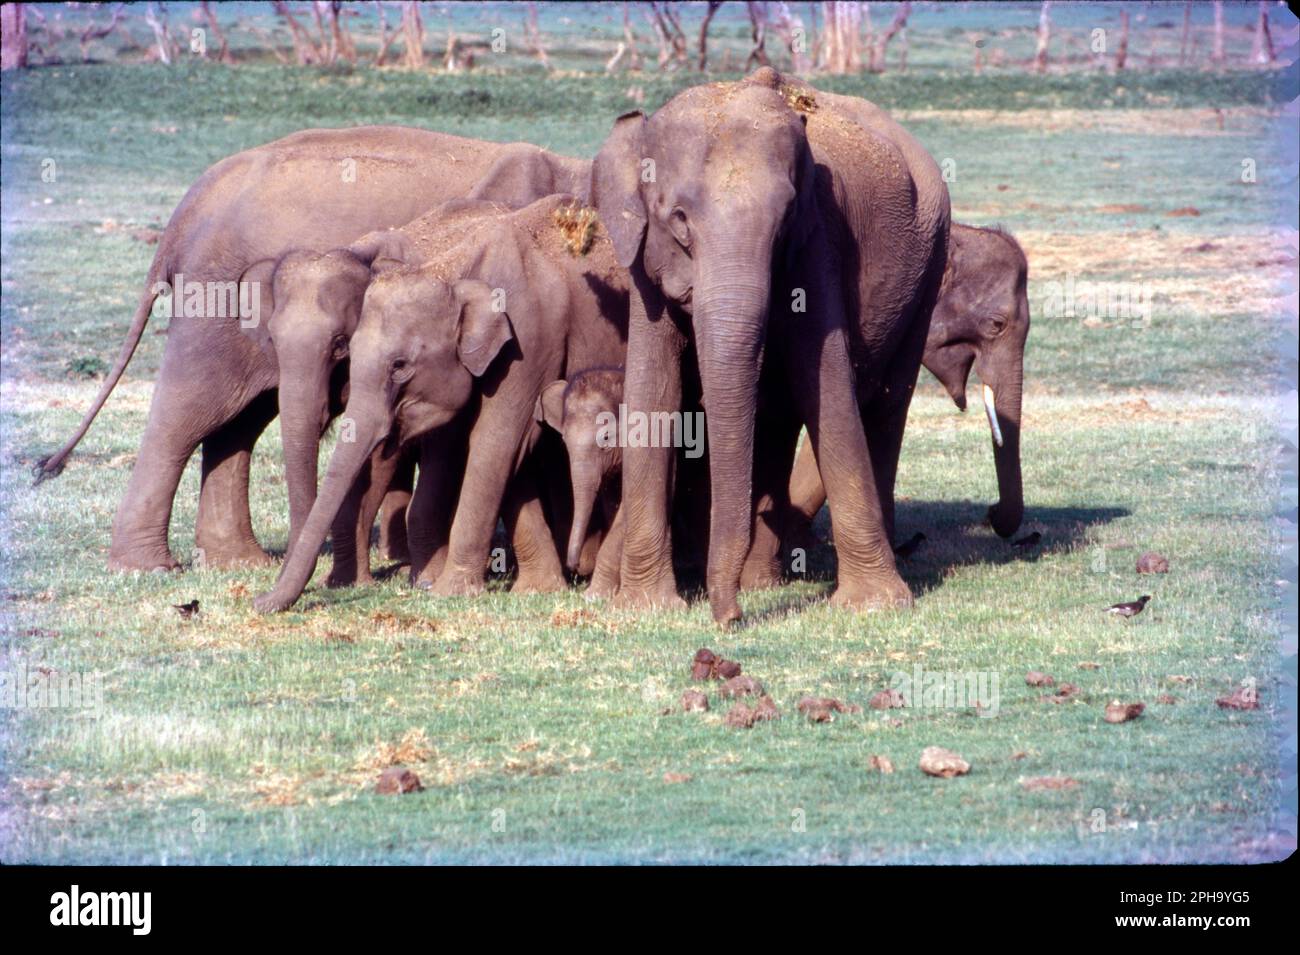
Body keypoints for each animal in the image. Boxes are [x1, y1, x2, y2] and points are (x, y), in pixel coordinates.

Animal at [34, 124, 588, 572]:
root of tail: (185, 209)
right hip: (210, 306)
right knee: (187, 414)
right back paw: (148, 567)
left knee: (237, 422)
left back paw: (240, 562)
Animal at [253, 193, 629, 613]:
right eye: (349, 352)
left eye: (399, 366)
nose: (258, 601)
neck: (451, 271)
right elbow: (485, 447)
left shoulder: (530, 340)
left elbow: (497, 440)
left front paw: (444, 588)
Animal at [588, 67, 950, 625]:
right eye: (679, 218)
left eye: (784, 219)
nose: (730, 618)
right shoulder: (642, 261)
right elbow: (654, 388)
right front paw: (643, 607)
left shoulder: (819, 234)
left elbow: (825, 380)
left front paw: (872, 607)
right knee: (778, 417)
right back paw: (761, 582)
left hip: (930, 263)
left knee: (886, 404)